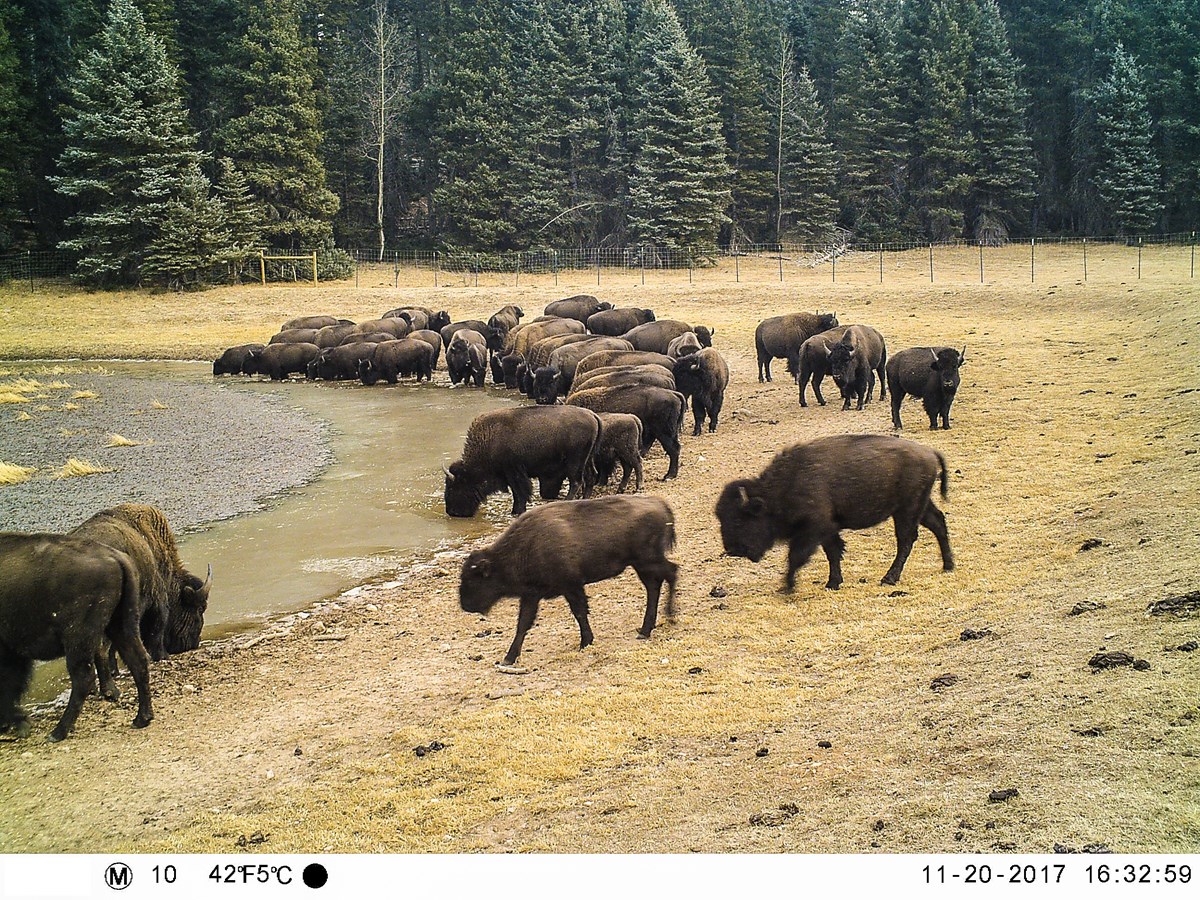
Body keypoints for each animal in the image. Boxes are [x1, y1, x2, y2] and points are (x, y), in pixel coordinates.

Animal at [444, 406, 603, 517]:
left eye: (453, 487)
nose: (452, 512)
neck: (489, 440)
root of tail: (593, 415)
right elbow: (517, 493)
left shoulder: (514, 472)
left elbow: (520, 492)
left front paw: (517, 511)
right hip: (588, 459)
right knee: (590, 476)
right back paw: (585, 499)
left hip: (575, 461)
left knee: (576, 481)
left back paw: (568, 501)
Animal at [458, 495, 678, 665]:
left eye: (474, 579)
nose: (465, 605)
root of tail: (660, 504)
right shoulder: (531, 595)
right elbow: (523, 624)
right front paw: (509, 658)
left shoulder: (570, 586)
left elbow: (579, 612)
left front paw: (585, 642)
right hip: (642, 565)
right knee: (655, 585)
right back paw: (646, 629)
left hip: (647, 561)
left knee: (671, 572)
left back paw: (669, 616)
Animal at [715, 434, 954, 592]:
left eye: (740, 519)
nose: (733, 550)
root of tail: (930, 452)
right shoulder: (827, 529)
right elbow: (833, 552)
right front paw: (833, 583)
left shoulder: (814, 528)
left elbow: (797, 556)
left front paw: (788, 586)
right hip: (920, 506)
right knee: (938, 523)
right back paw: (948, 566)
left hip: (906, 510)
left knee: (906, 539)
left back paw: (889, 578)